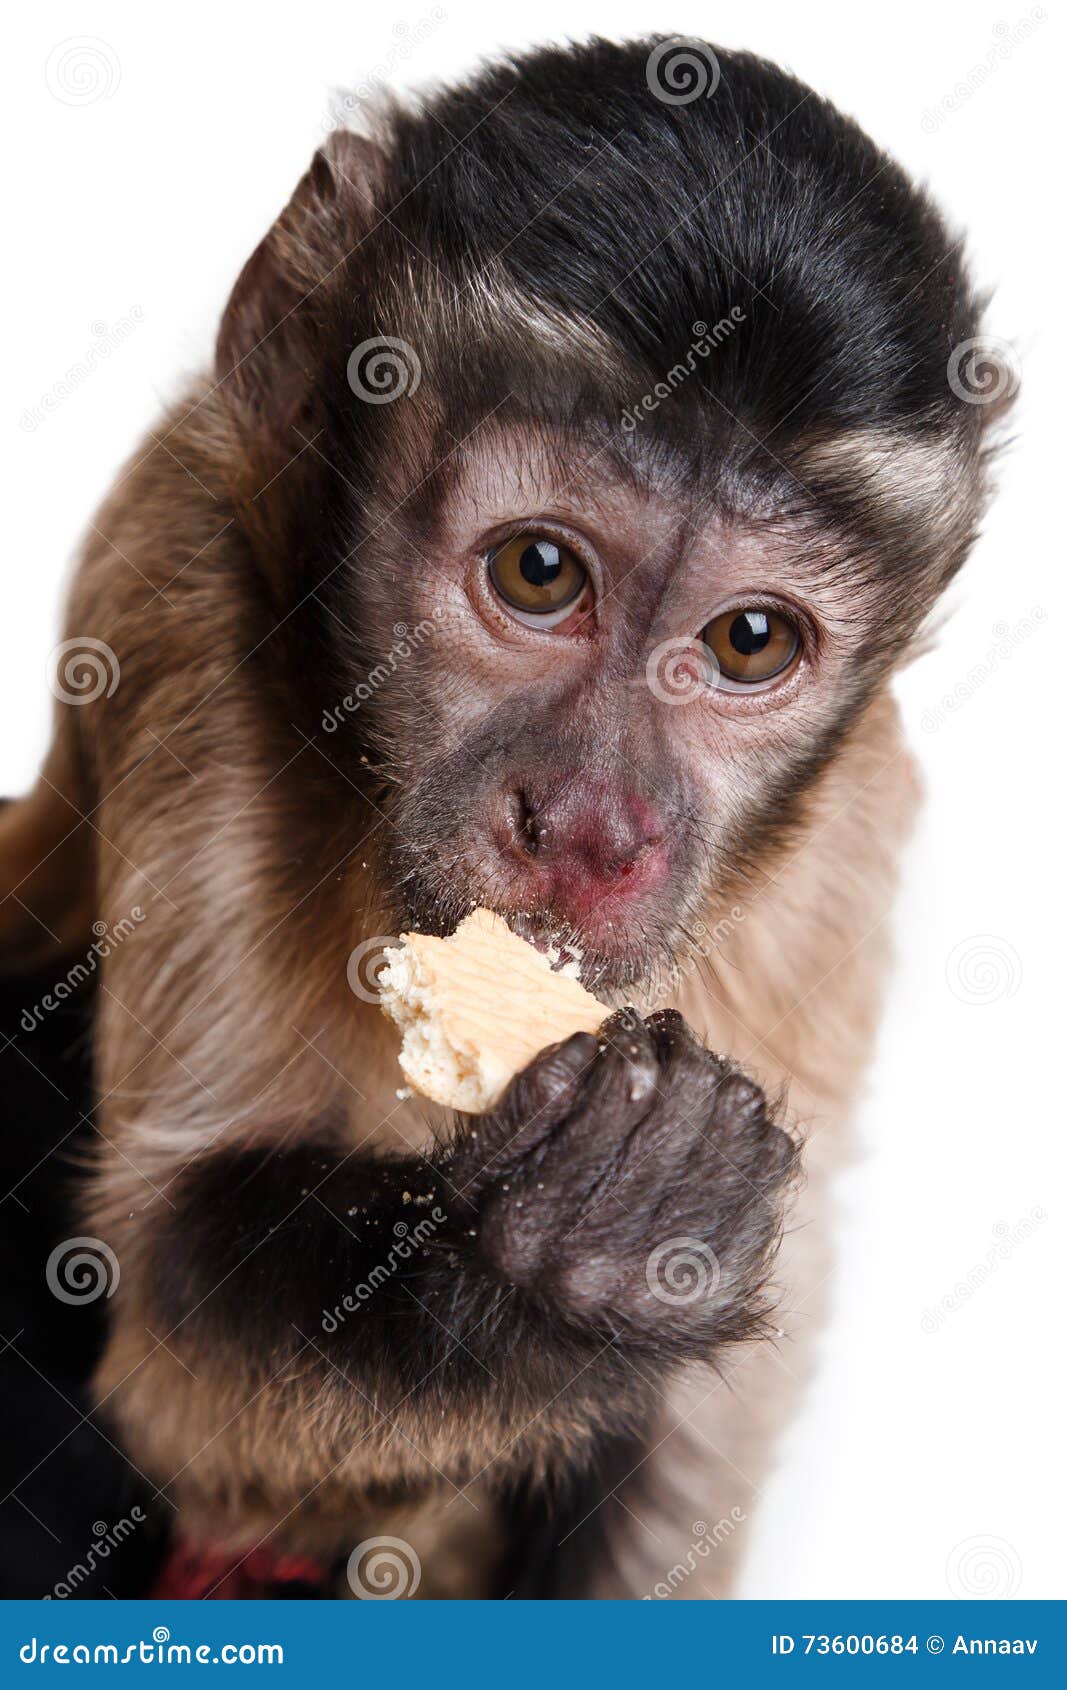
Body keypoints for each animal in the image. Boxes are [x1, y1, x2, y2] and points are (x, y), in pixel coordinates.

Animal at [0, 36, 1009, 1599]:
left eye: (749, 643)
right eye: (538, 572)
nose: (594, 828)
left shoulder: (846, 826)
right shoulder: (185, 593)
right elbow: (158, 1326)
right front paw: (566, 1249)